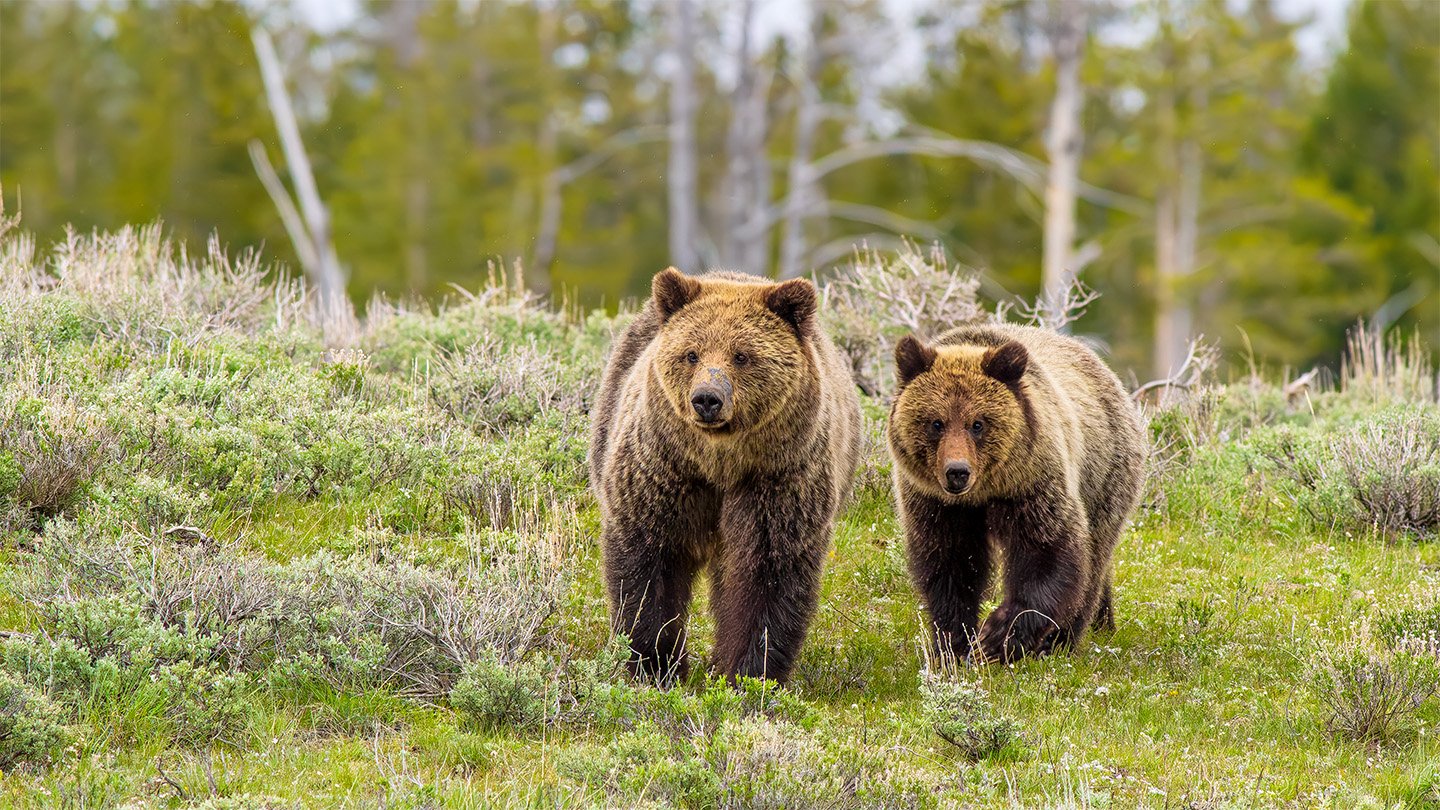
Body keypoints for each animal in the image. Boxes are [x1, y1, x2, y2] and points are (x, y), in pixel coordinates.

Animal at [587, 265, 858, 680]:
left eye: (742, 354)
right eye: (691, 353)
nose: (707, 399)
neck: (719, 462)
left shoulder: (777, 478)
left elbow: (767, 574)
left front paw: (748, 671)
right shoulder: (664, 469)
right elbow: (647, 567)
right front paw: (655, 665)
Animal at [887, 319, 1146, 662]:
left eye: (978, 423)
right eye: (936, 423)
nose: (957, 472)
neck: (983, 493)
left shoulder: (1031, 485)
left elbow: (1048, 553)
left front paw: (997, 636)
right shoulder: (937, 503)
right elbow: (950, 563)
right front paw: (954, 643)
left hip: (1105, 477)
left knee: (1094, 559)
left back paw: (1063, 639)